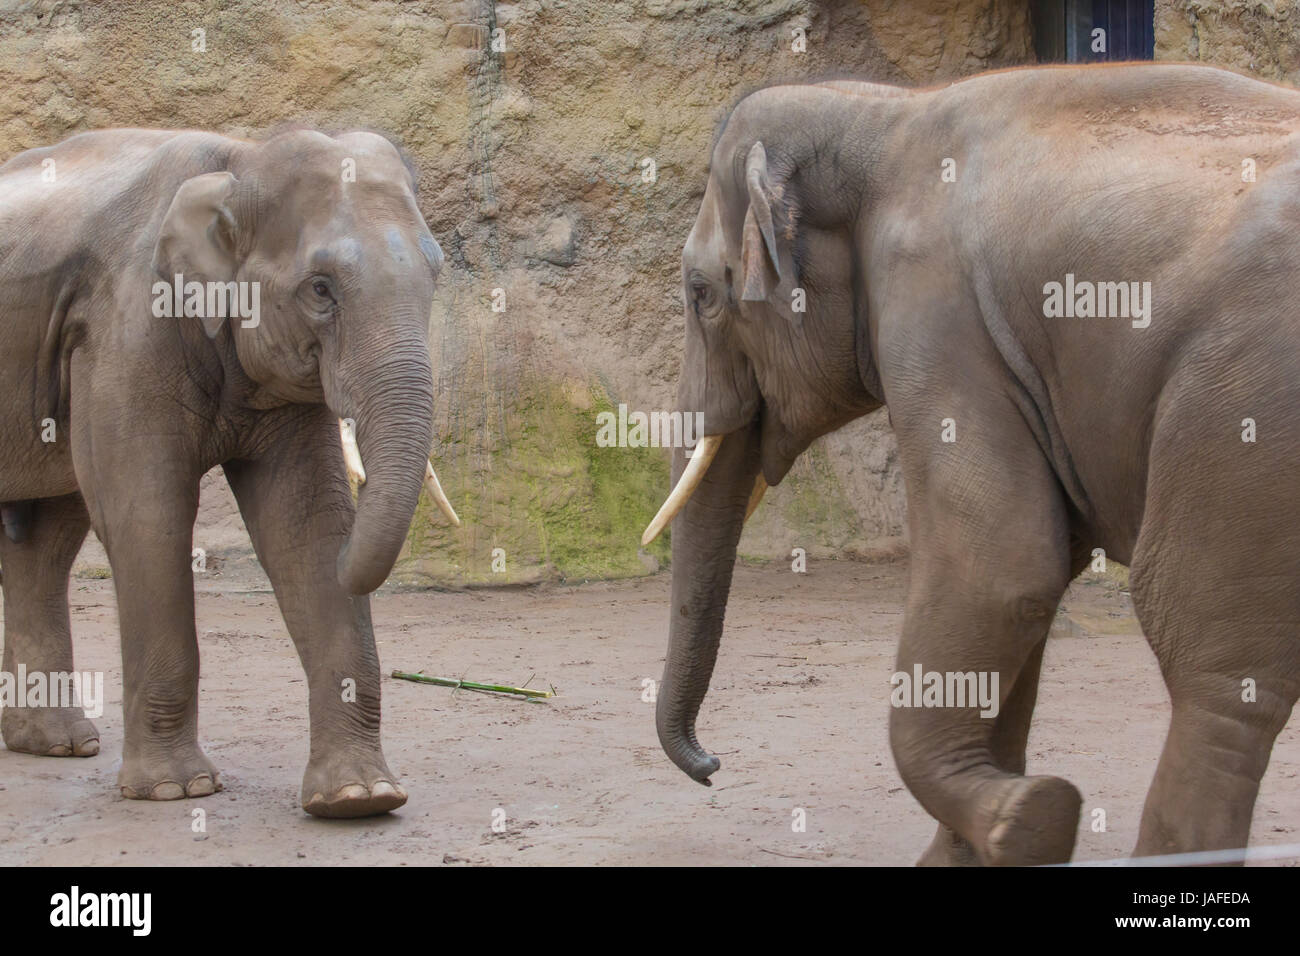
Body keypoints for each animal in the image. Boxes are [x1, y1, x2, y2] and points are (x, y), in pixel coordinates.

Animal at [0, 126, 460, 818]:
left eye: (436, 273)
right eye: (320, 289)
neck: (239, 161)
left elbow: (303, 527)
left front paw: (359, 798)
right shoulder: (127, 333)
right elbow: (147, 516)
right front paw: (175, 789)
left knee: (46, 542)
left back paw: (56, 744)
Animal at [643, 63, 1300, 865]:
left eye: (701, 293)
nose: (711, 765)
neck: (886, 113)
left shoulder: (939, 314)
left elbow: (998, 571)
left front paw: (1032, 819)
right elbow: (1024, 594)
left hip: (1243, 408)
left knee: (1212, 663)